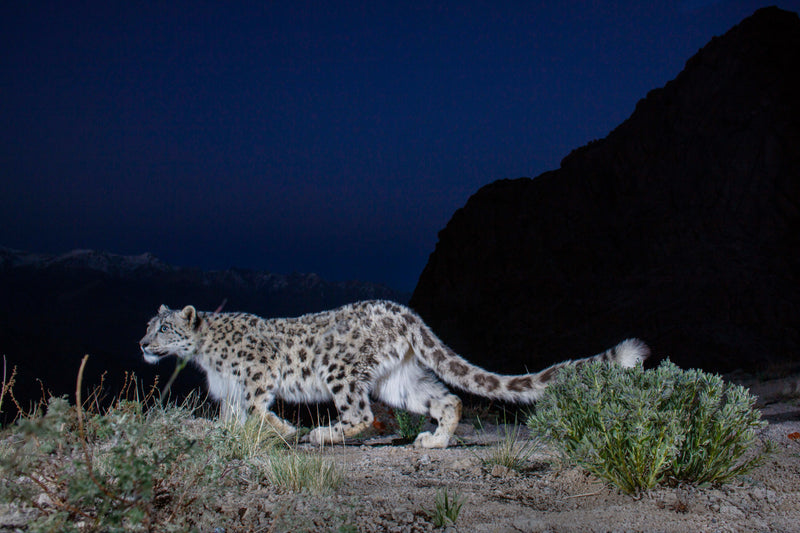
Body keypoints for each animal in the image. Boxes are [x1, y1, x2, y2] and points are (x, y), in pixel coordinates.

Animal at [140, 300, 648, 448]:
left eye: (163, 328)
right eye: (148, 325)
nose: (142, 344)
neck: (206, 357)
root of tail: (403, 312)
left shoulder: (259, 376)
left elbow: (258, 409)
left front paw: (283, 430)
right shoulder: (227, 392)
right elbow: (232, 418)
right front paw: (227, 435)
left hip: (339, 370)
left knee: (361, 414)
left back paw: (321, 434)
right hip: (400, 380)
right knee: (447, 398)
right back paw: (434, 441)